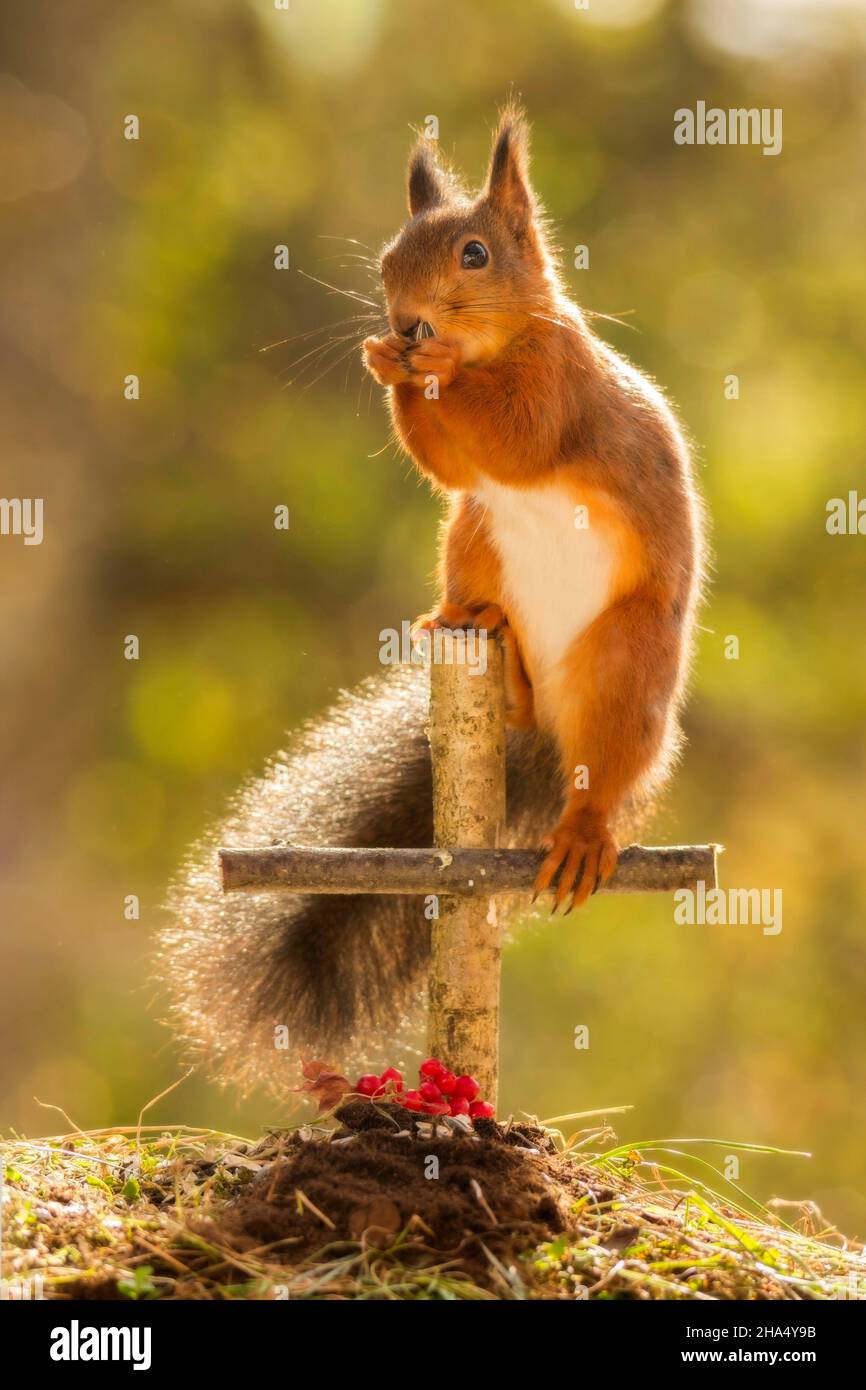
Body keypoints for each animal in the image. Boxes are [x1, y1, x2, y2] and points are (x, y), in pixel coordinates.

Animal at [158, 108, 704, 1095]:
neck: (501, 342)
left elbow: (517, 435)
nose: (405, 322)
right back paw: (476, 626)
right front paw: (389, 364)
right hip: (472, 537)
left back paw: (583, 832)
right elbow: (451, 462)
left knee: (606, 764)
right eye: (386, 258)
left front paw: (431, 363)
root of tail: (545, 727)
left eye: (475, 254)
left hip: (628, 658)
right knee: (493, 623)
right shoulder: (463, 474)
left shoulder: (559, 385)